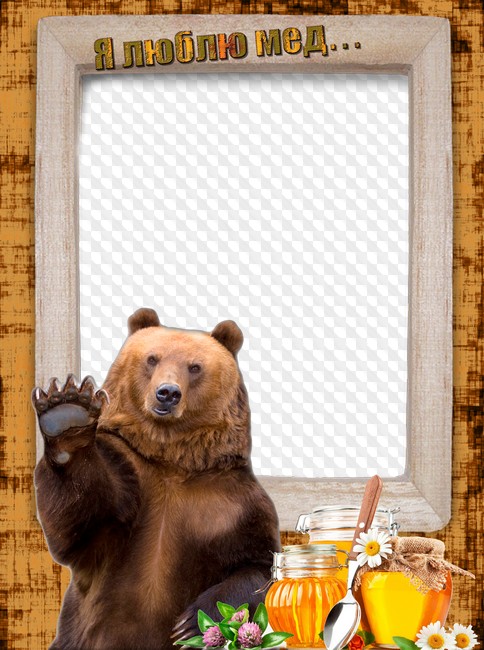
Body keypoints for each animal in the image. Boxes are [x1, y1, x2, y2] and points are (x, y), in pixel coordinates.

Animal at [33, 308, 280, 650]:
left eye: (195, 366)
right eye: (152, 358)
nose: (168, 393)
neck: (171, 460)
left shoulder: (233, 503)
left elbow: (256, 563)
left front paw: (188, 624)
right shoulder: (126, 476)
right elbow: (77, 524)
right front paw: (67, 412)